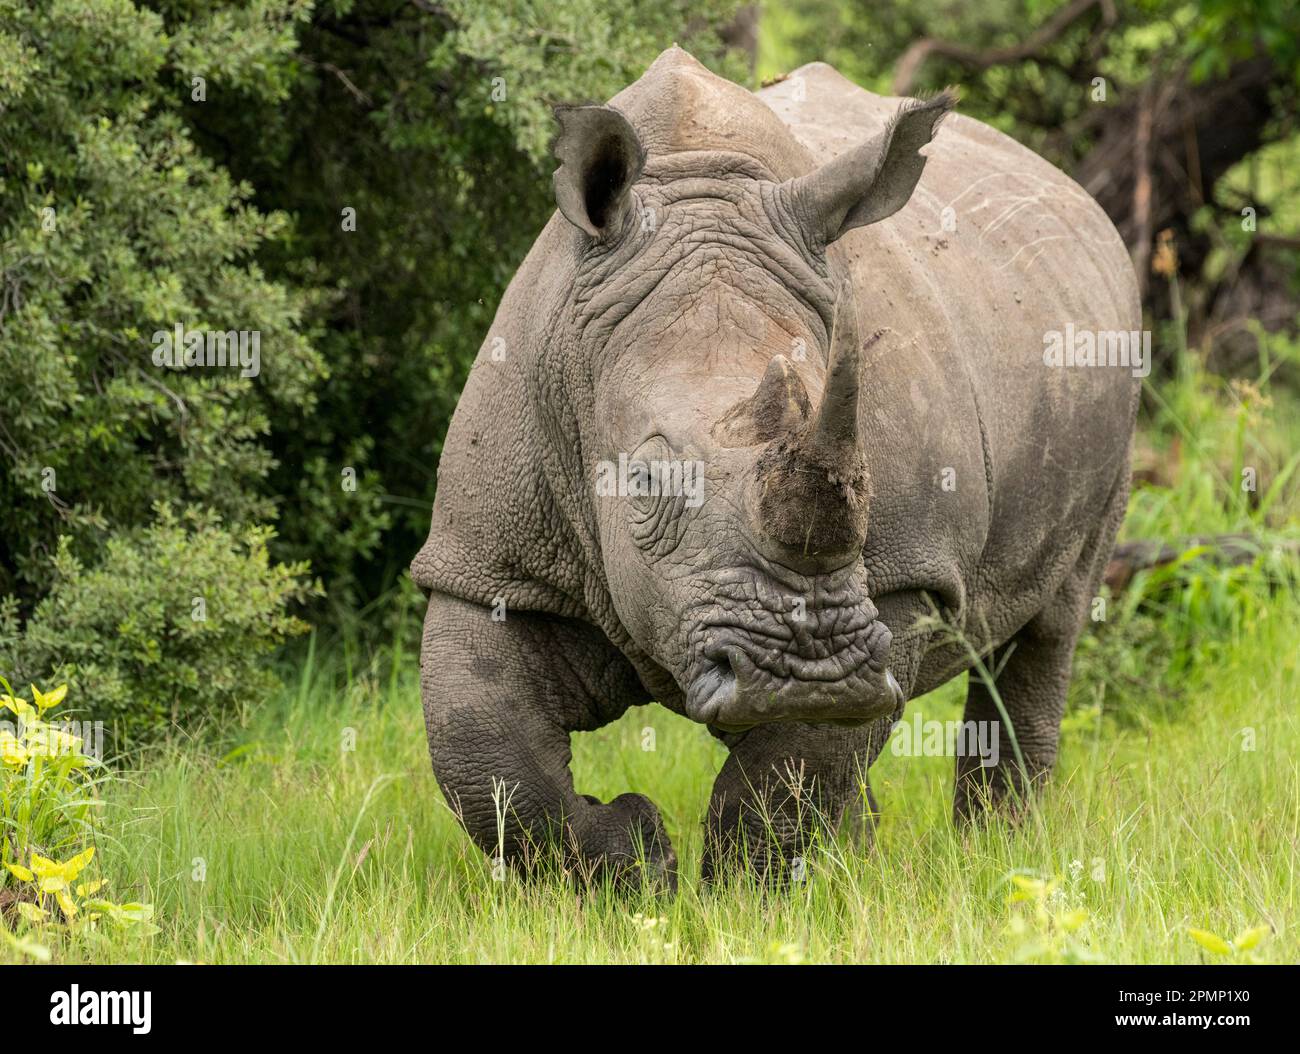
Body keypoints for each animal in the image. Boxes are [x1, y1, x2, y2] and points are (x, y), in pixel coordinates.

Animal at [412, 47, 1140, 887]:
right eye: (644, 484)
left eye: (865, 480)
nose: (807, 670)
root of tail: (1074, 193)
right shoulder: (488, 560)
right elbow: (486, 758)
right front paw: (634, 859)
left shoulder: (902, 577)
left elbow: (791, 770)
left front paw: (743, 892)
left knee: (1054, 623)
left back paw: (997, 854)